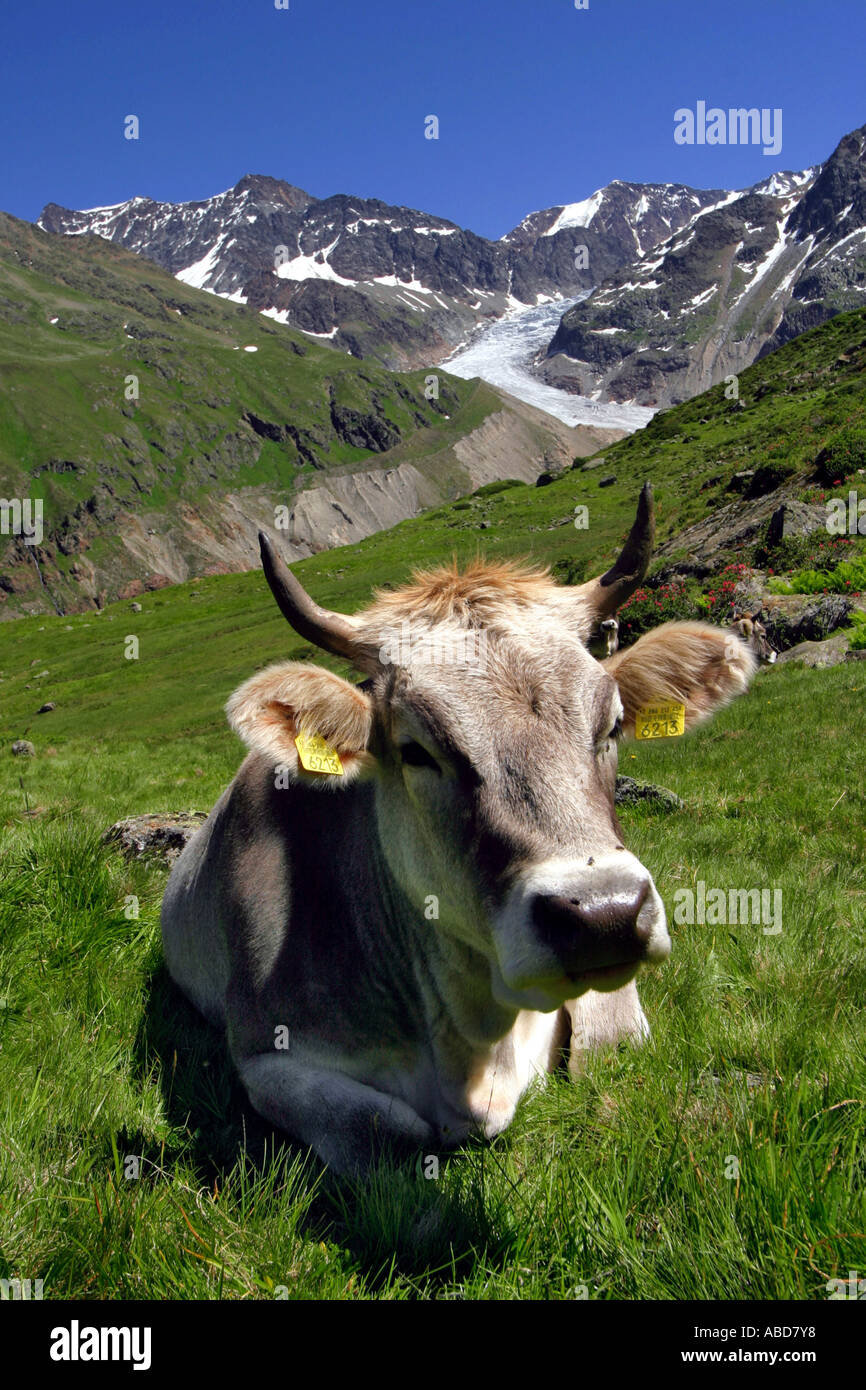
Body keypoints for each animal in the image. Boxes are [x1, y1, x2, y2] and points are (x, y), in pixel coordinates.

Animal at [161, 483, 758, 1175]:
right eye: (415, 750)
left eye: (611, 724)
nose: (605, 914)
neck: (470, 1041)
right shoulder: (264, 1055)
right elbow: (390, 1134)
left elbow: (607, 1050)